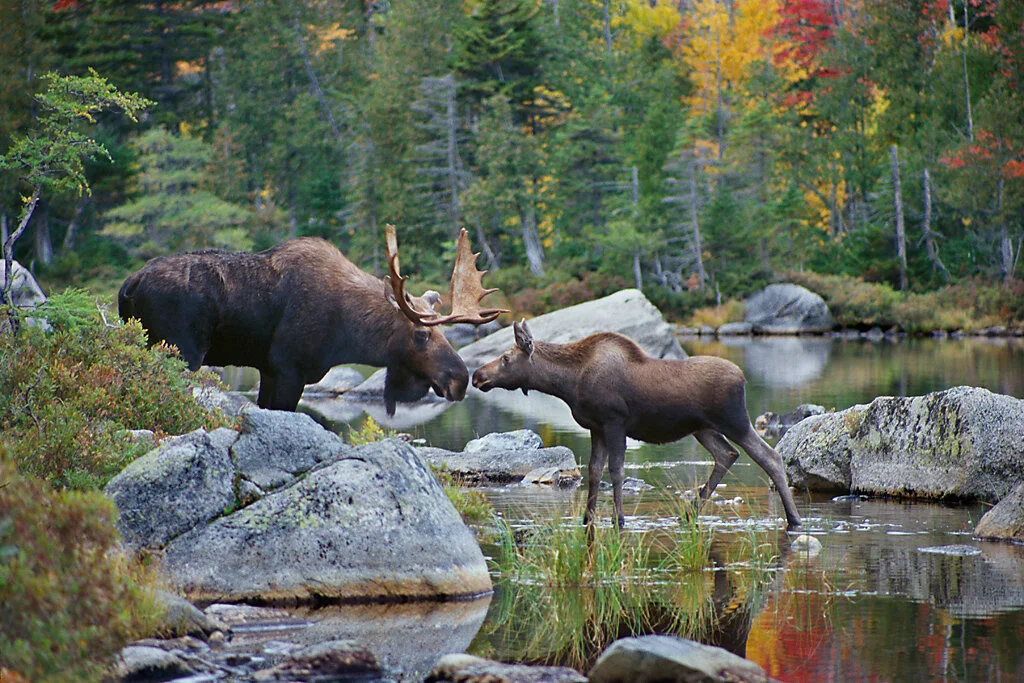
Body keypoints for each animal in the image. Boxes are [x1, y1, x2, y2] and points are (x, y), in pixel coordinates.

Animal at [119, 225, 505, 413]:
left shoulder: (270, 370)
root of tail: (129, 284)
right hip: (180, 351)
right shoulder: (289, 369)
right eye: (421, 335)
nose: (460, 379)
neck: (348, 335)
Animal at [471, 320, 803, 529]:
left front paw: (619, 519)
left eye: (505, 358)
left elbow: (616, 471)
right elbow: (594, 471)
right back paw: (689, 512)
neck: (568, 383)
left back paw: (794, 518)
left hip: (734, 421)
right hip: (703, 428)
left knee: (769, 457)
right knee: (727, 454)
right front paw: (587, 518)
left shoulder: (614, 422)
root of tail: (743, 378)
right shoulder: (596, 427)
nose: (477, 375)